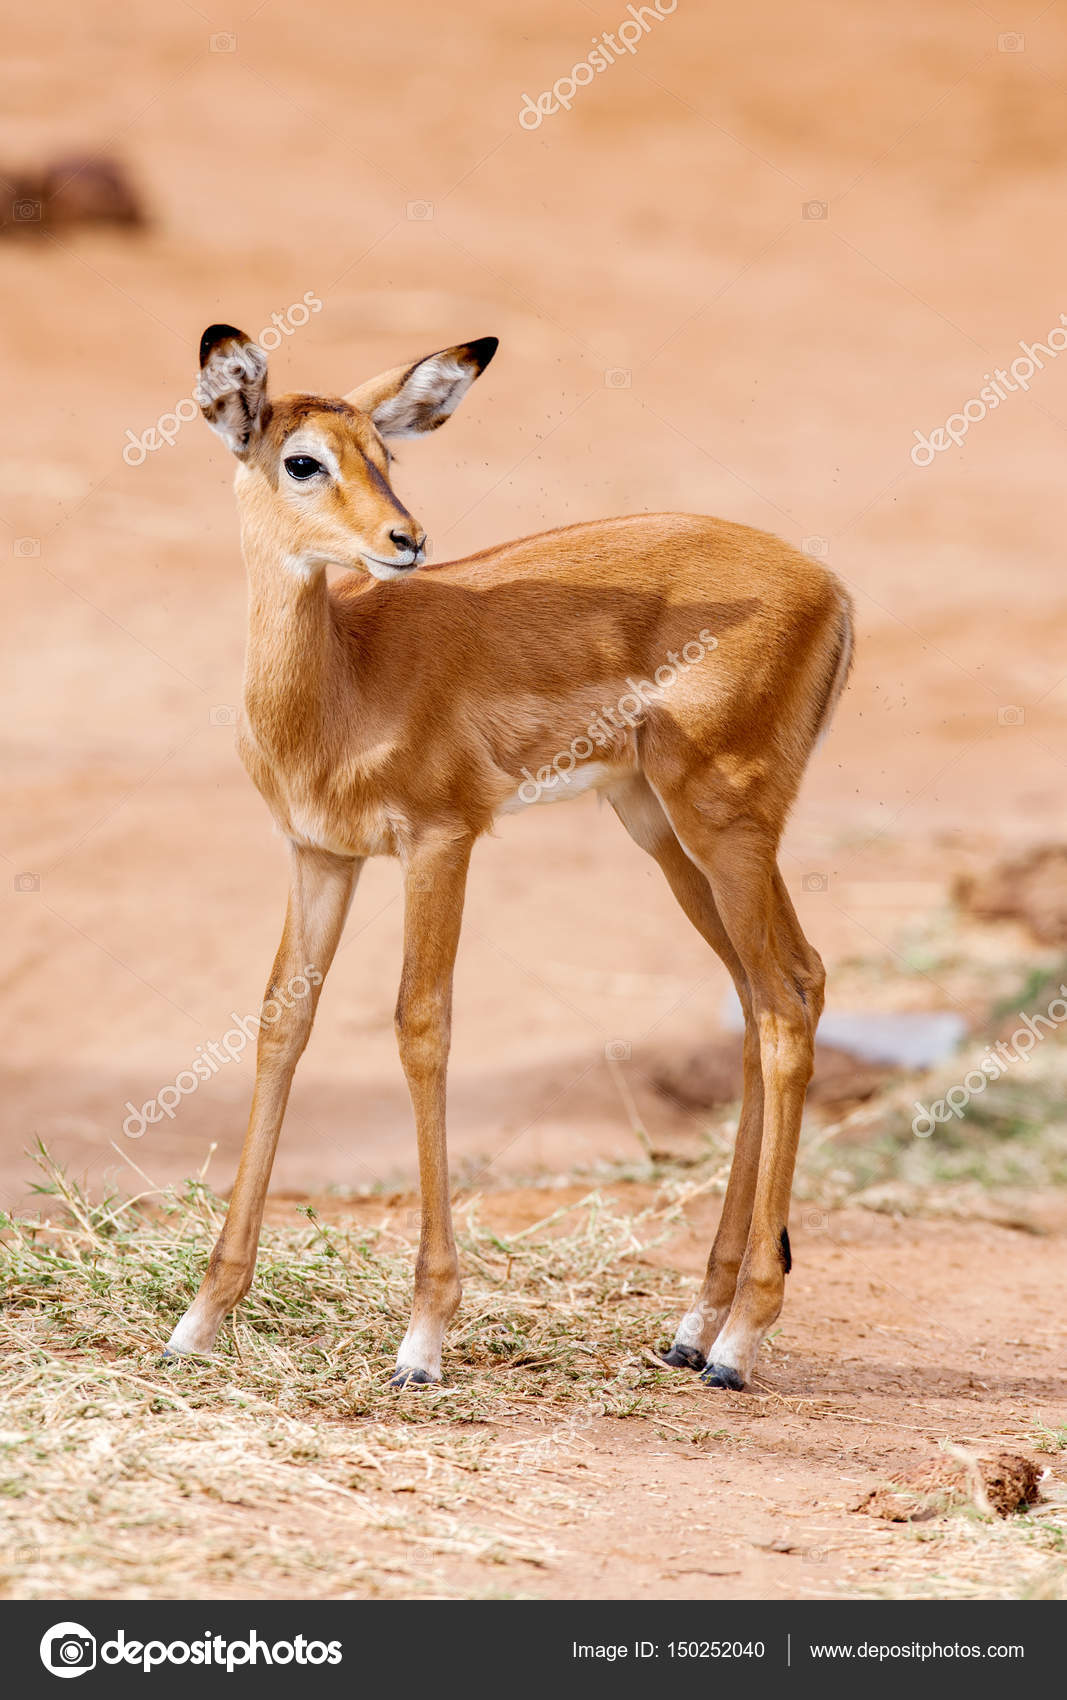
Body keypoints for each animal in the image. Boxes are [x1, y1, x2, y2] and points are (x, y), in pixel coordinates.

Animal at [166, 324, 853, 1391]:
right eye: (302, 458)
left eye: (385, 452)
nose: (405, 540)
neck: (342, 681)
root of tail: (833, 590)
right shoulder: (318, 856)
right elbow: (281, 1025)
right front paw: (199, 1321)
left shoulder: (441, 841)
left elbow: (421, 1027)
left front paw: (421, 1342)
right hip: (663, 831)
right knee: (775, 990)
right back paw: (692, 1327)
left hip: (723, 826)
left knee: (782, 1000)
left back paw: (739, 1343)